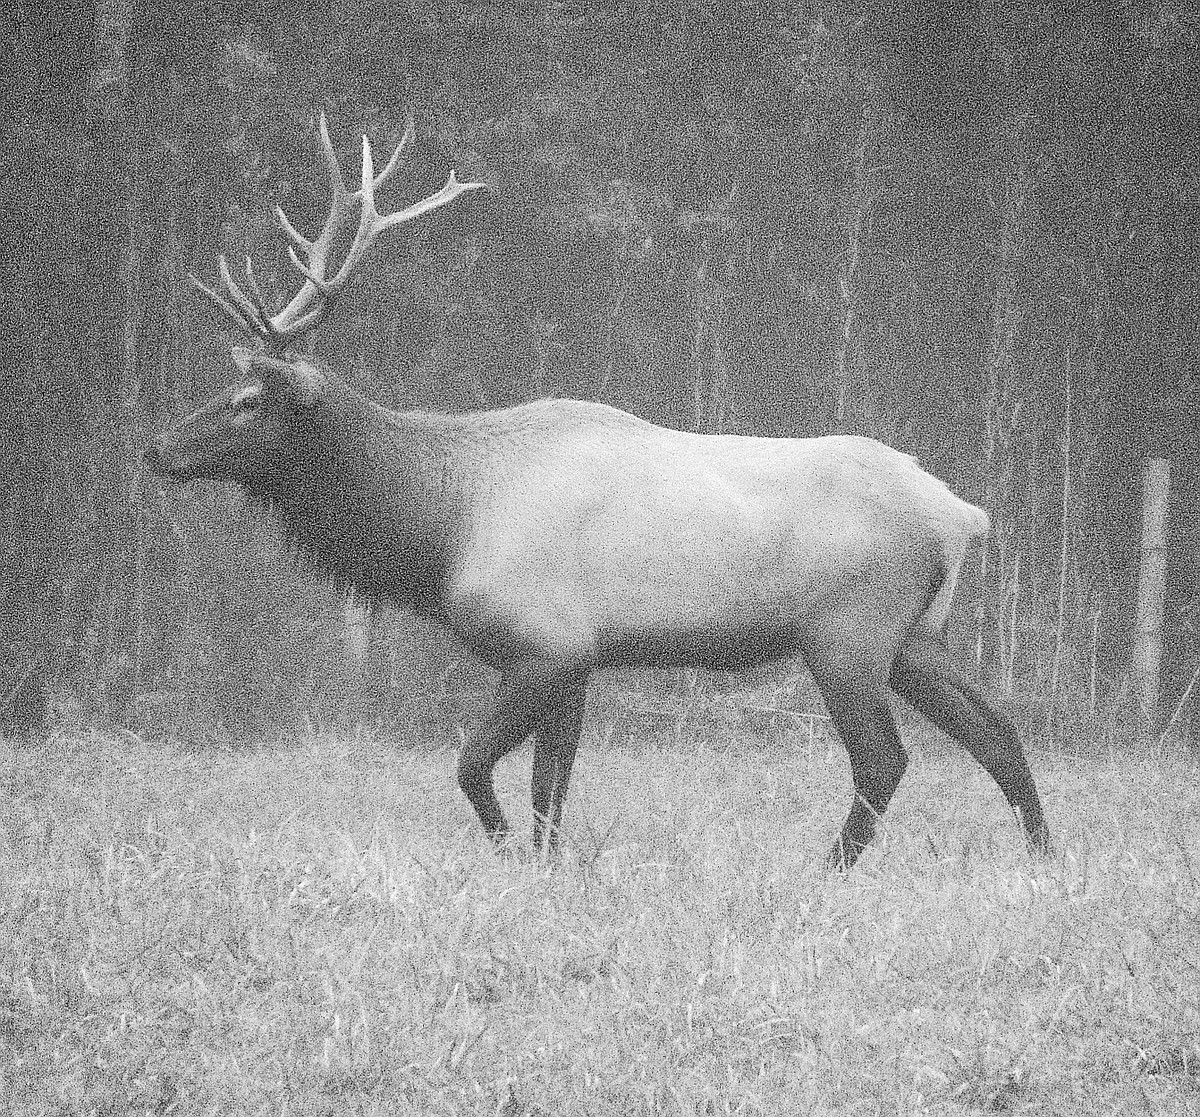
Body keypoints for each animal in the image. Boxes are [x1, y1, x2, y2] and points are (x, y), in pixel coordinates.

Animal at [144, 113, 1050, 870]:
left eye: (247, 398)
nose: (156, 448)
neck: (441, 525)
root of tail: (962, 513)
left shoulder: (544, 642)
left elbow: (474, 767)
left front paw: (514, 855)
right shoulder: (579, 656)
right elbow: (553, 785)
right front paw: (553, 865)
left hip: (847, 632)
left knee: (884, 759)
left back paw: (827, 869)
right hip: (914, 635)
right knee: (999, 729)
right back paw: (1043, 856)